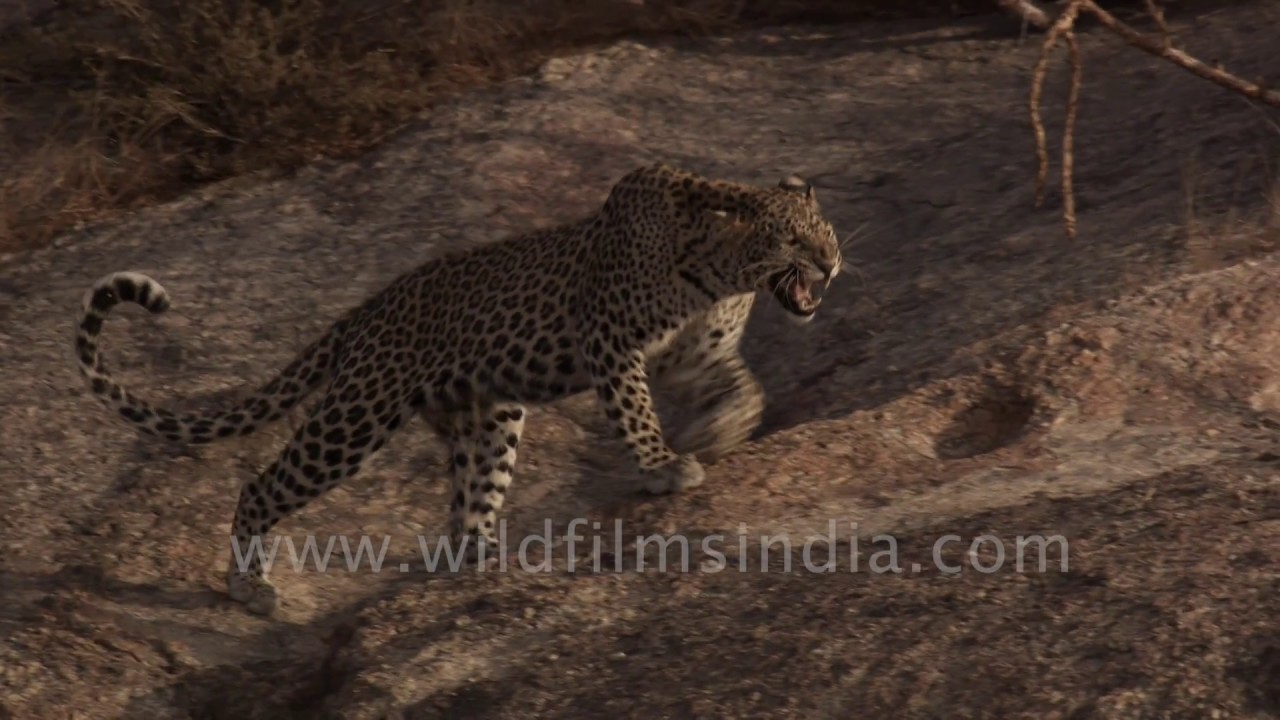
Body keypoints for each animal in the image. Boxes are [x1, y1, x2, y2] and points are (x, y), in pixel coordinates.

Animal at [72, 162, 844, 616]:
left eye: (827, 231)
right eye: (793, 238)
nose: (832, 265)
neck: (720, 273)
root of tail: (360, 314)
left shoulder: (692, 357)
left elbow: (744, 389)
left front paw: (719, 432)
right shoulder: (609, 343)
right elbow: (635, 414)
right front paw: (662, 466)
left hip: (489, 416)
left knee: (466, 506)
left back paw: (483, 557)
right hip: (357, 413)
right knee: (262, 485)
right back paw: (250, 587)